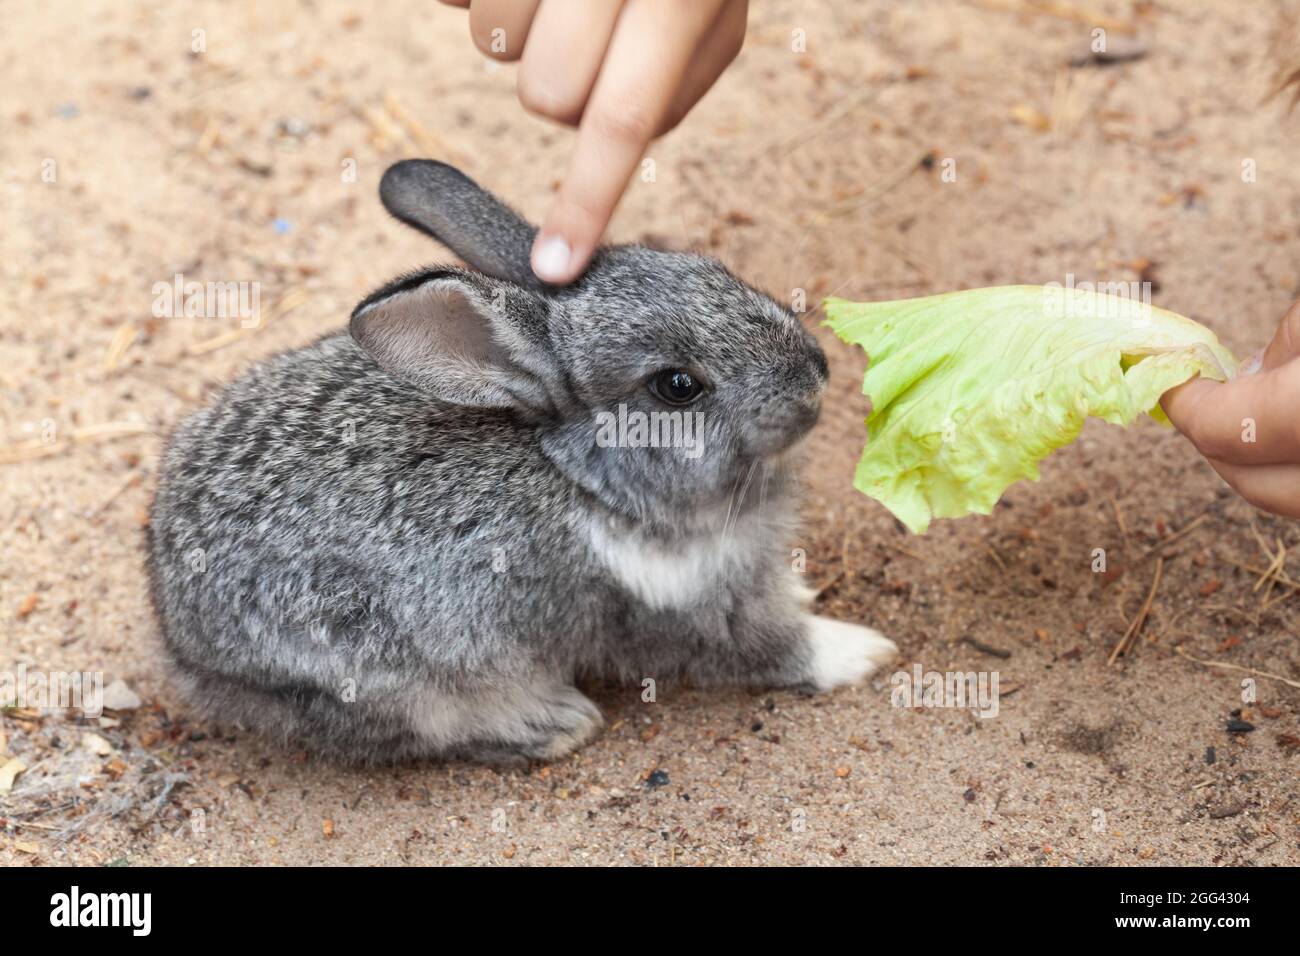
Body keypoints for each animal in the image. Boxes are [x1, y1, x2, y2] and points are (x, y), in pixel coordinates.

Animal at [145, 159, 898, 765]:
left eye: (710, 270)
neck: (585, 479)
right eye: (677, 386)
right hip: (393, 684)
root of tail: (182, 649)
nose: (813, 376)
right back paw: (551, 723)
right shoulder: (681, 612)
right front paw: (861, 652)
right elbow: (775, 648)